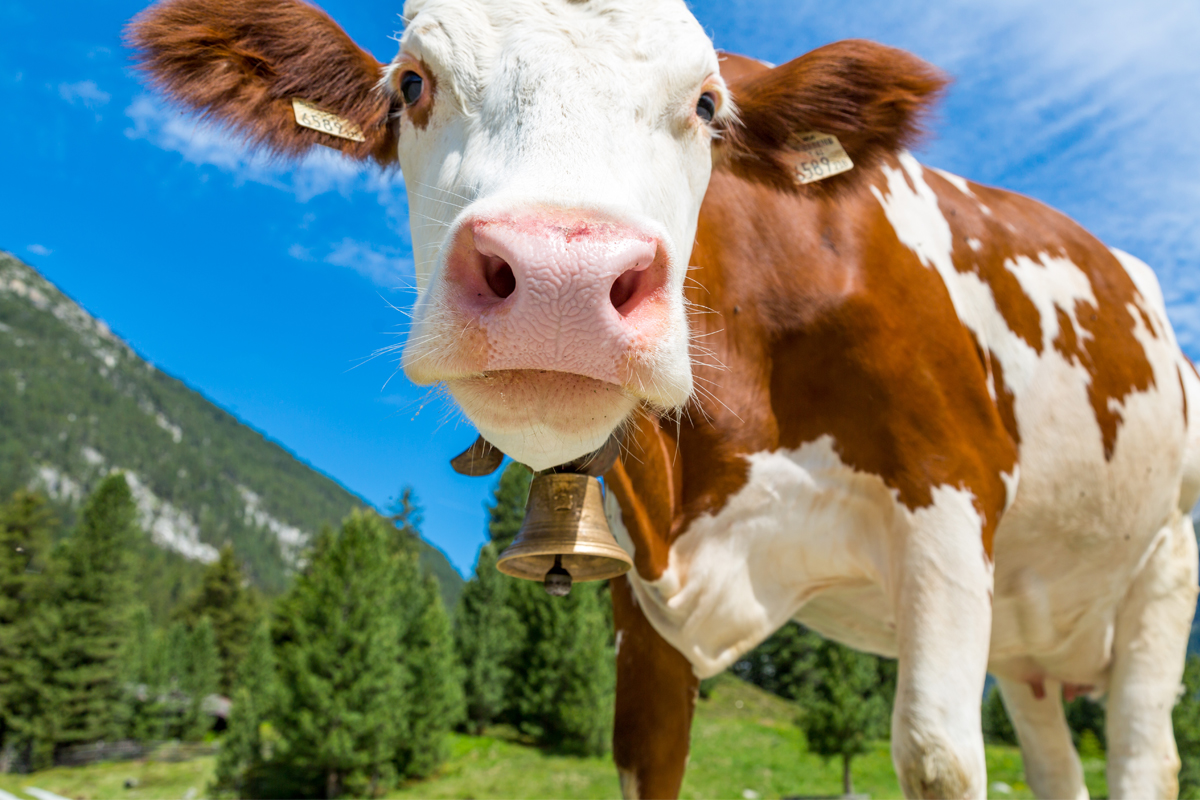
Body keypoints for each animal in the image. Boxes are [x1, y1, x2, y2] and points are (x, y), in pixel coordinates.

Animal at [129, 1, 1200, 797]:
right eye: (412, 83)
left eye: (708, 104)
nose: (560, 278)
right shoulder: (641, 599)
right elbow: (650, 759)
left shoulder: (948, 503)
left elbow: (937, 756)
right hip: (1030, 635)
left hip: (1162, 565)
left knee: (1144, 754)